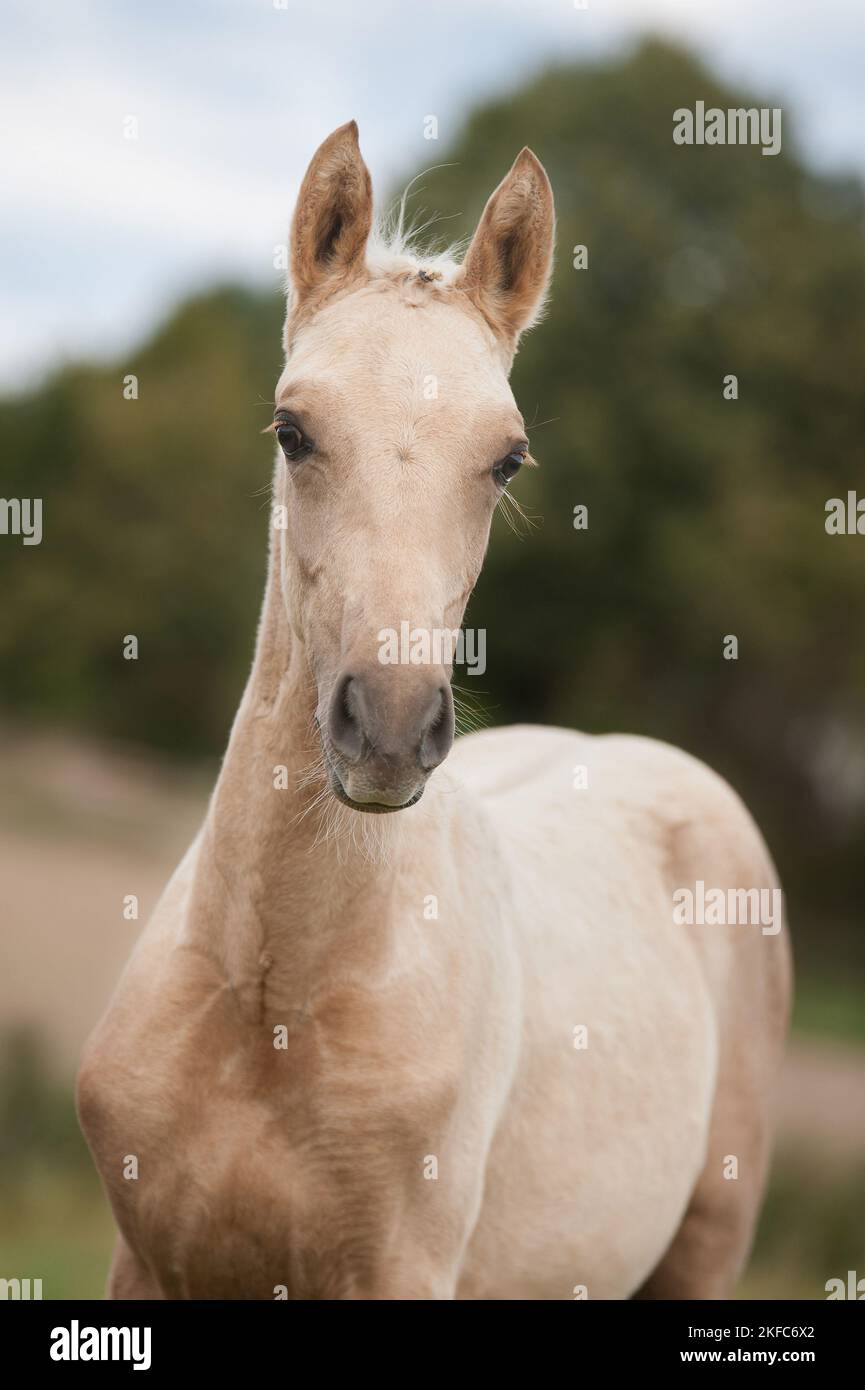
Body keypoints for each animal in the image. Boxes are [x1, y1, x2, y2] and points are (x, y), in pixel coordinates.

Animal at [77, 122, 791, 1300]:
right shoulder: (144, 1262)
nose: (390, 729)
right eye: (292, 429)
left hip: (706, 1247)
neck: (270, 1006)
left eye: (506, 458)